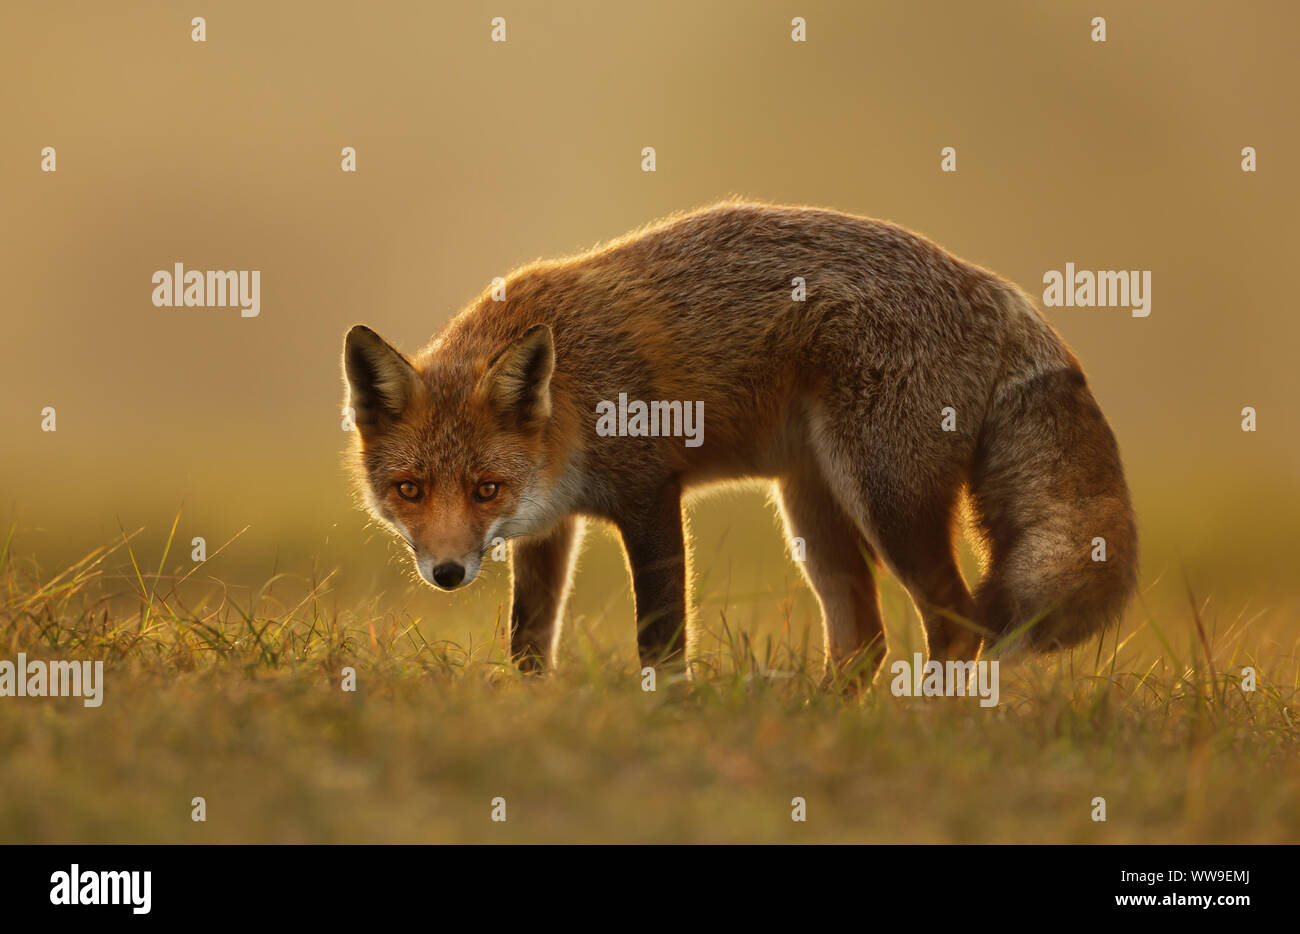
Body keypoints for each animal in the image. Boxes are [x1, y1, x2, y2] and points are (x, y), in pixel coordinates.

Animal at [342, 201, 1137, 679]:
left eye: (485, 489)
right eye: (410, 490)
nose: (448, 573)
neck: (570, 393)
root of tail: (999, 290)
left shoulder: (648, 495)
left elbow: (660, 641)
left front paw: (664, 718)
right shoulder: (547, 526)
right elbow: (529, 645)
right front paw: (528, 711)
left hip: (886, 501)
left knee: (957, 625)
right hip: (811, 507)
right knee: (865, 642)